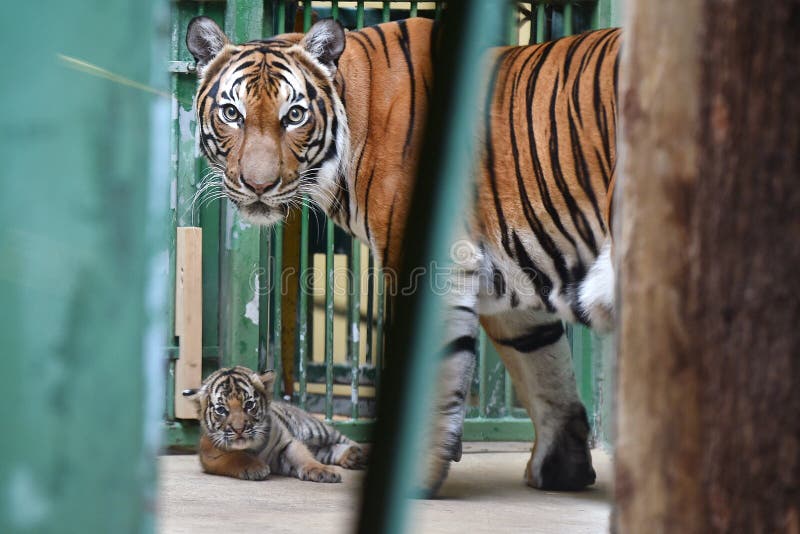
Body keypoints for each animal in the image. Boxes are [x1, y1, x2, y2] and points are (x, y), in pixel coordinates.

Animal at [182, 366, 366, 482]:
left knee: (345, 440)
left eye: (249, 405)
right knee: (330, 449)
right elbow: (235, 456)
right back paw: (353, 457)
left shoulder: (288, 443)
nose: (239, 429)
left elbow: (303, 457)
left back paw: (359, 454)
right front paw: (255, 468)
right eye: (221, 409)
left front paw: (321, 471)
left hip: (317, 429)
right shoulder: (210, 455)